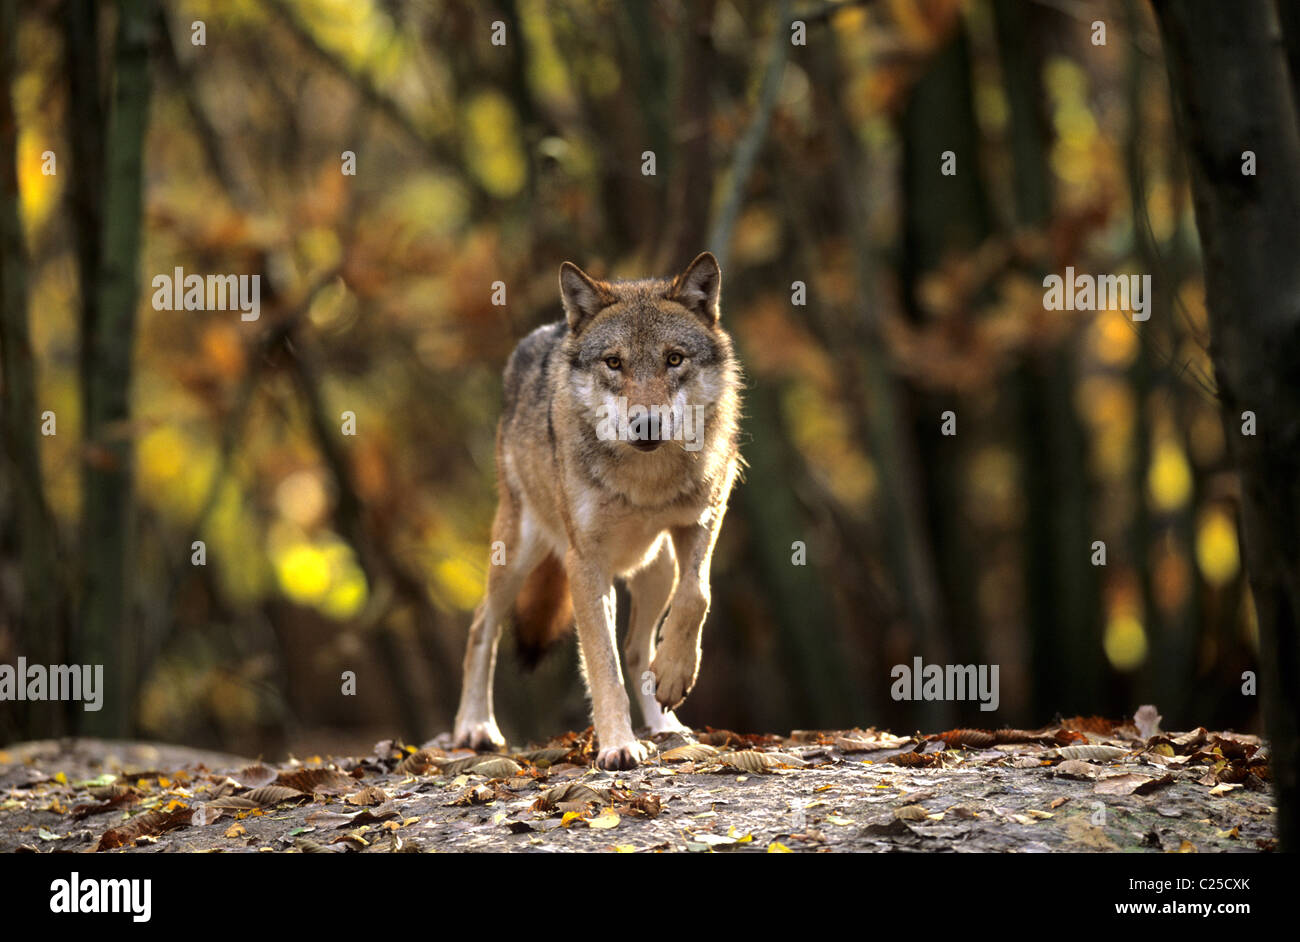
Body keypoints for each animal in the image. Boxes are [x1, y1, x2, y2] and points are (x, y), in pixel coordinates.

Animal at [452, 252, 742, 769]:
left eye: (674, 359)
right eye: (614, 362)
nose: (647, 424)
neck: (646, 481)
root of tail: (547, 332)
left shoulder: (705, 515)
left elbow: (697, 597)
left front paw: (674, 676)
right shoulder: (585, 563)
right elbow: (602, 665)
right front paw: (618, 745)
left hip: (656, 568)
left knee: (638, 647)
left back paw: (666, 724)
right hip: (518, 555)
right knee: (482, 625)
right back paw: (476, 727)